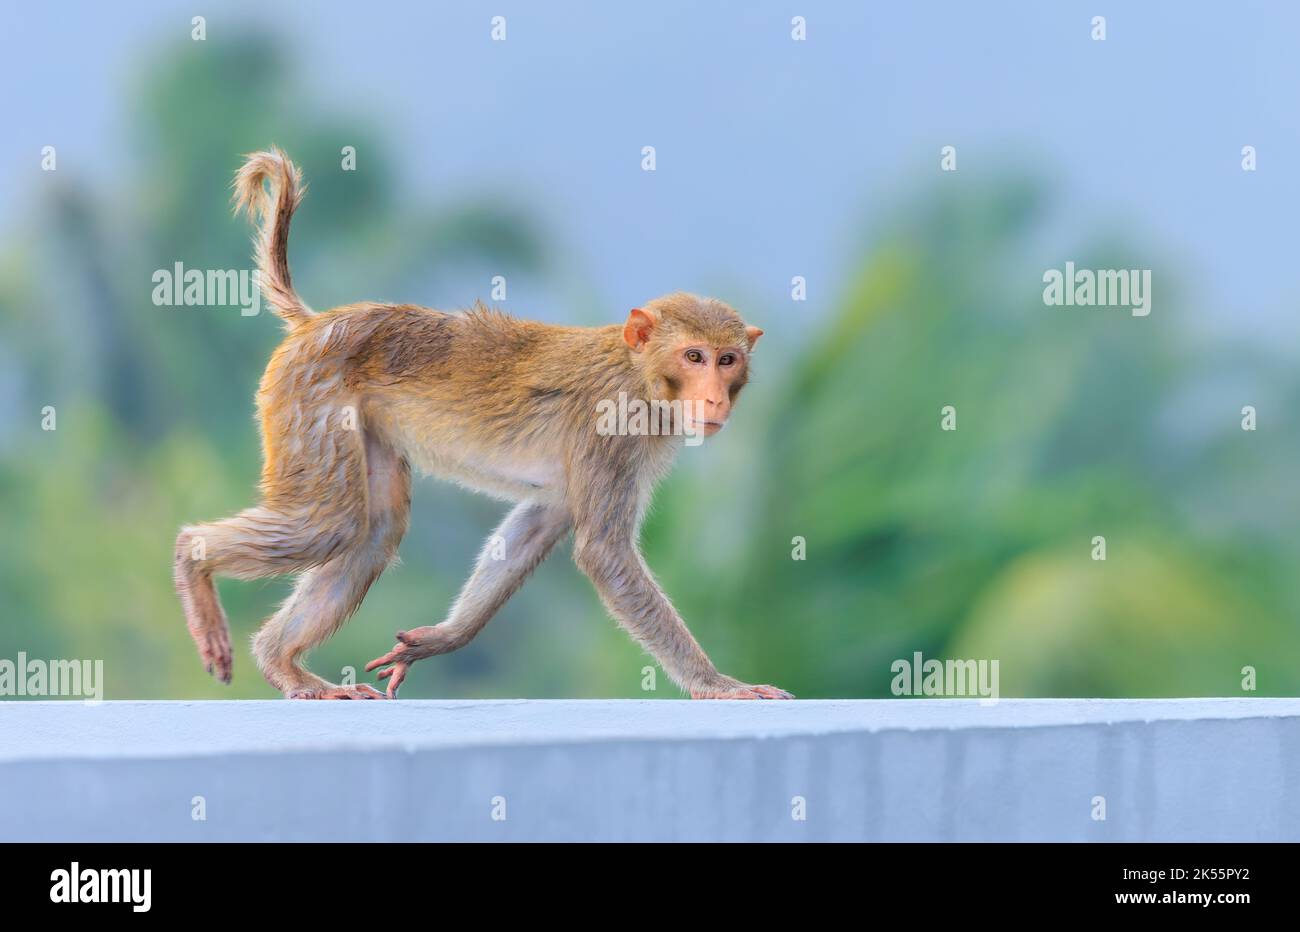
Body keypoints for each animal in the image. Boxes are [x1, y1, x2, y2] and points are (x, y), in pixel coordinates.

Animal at [173, 148, 792, 701]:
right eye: (694, 357)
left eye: (727, 359)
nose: (714, 398)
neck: (638, 375)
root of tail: (317, 322)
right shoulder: (608, 428)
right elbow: (604, 554)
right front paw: (716, 684)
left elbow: (538, 524)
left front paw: (440, 640)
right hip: (311, 399)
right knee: (330, 525)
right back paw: (193, 560)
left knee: (373, 531)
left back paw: (282, 662)